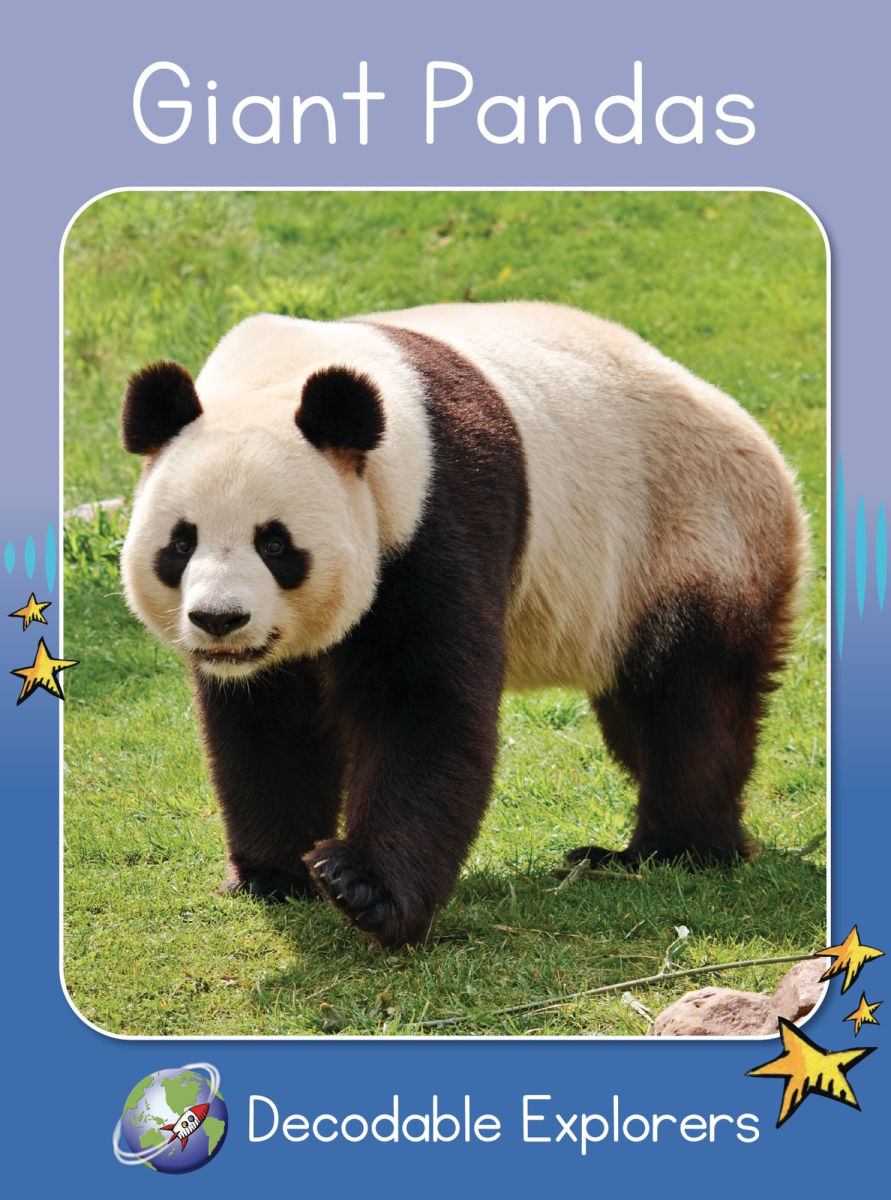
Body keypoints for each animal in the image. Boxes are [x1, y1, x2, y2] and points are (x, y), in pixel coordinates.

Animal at [120, 302, 807, 948]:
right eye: (181, 543)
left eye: (276, 544)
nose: (219, 620)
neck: (283, 374)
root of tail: (766, 449)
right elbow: (269, 723)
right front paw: (274, 874)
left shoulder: (436, 510)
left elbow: (424, 702)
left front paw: (361, 886)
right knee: (637, 715)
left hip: (687, 532)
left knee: (688, 702)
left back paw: (678, 850)